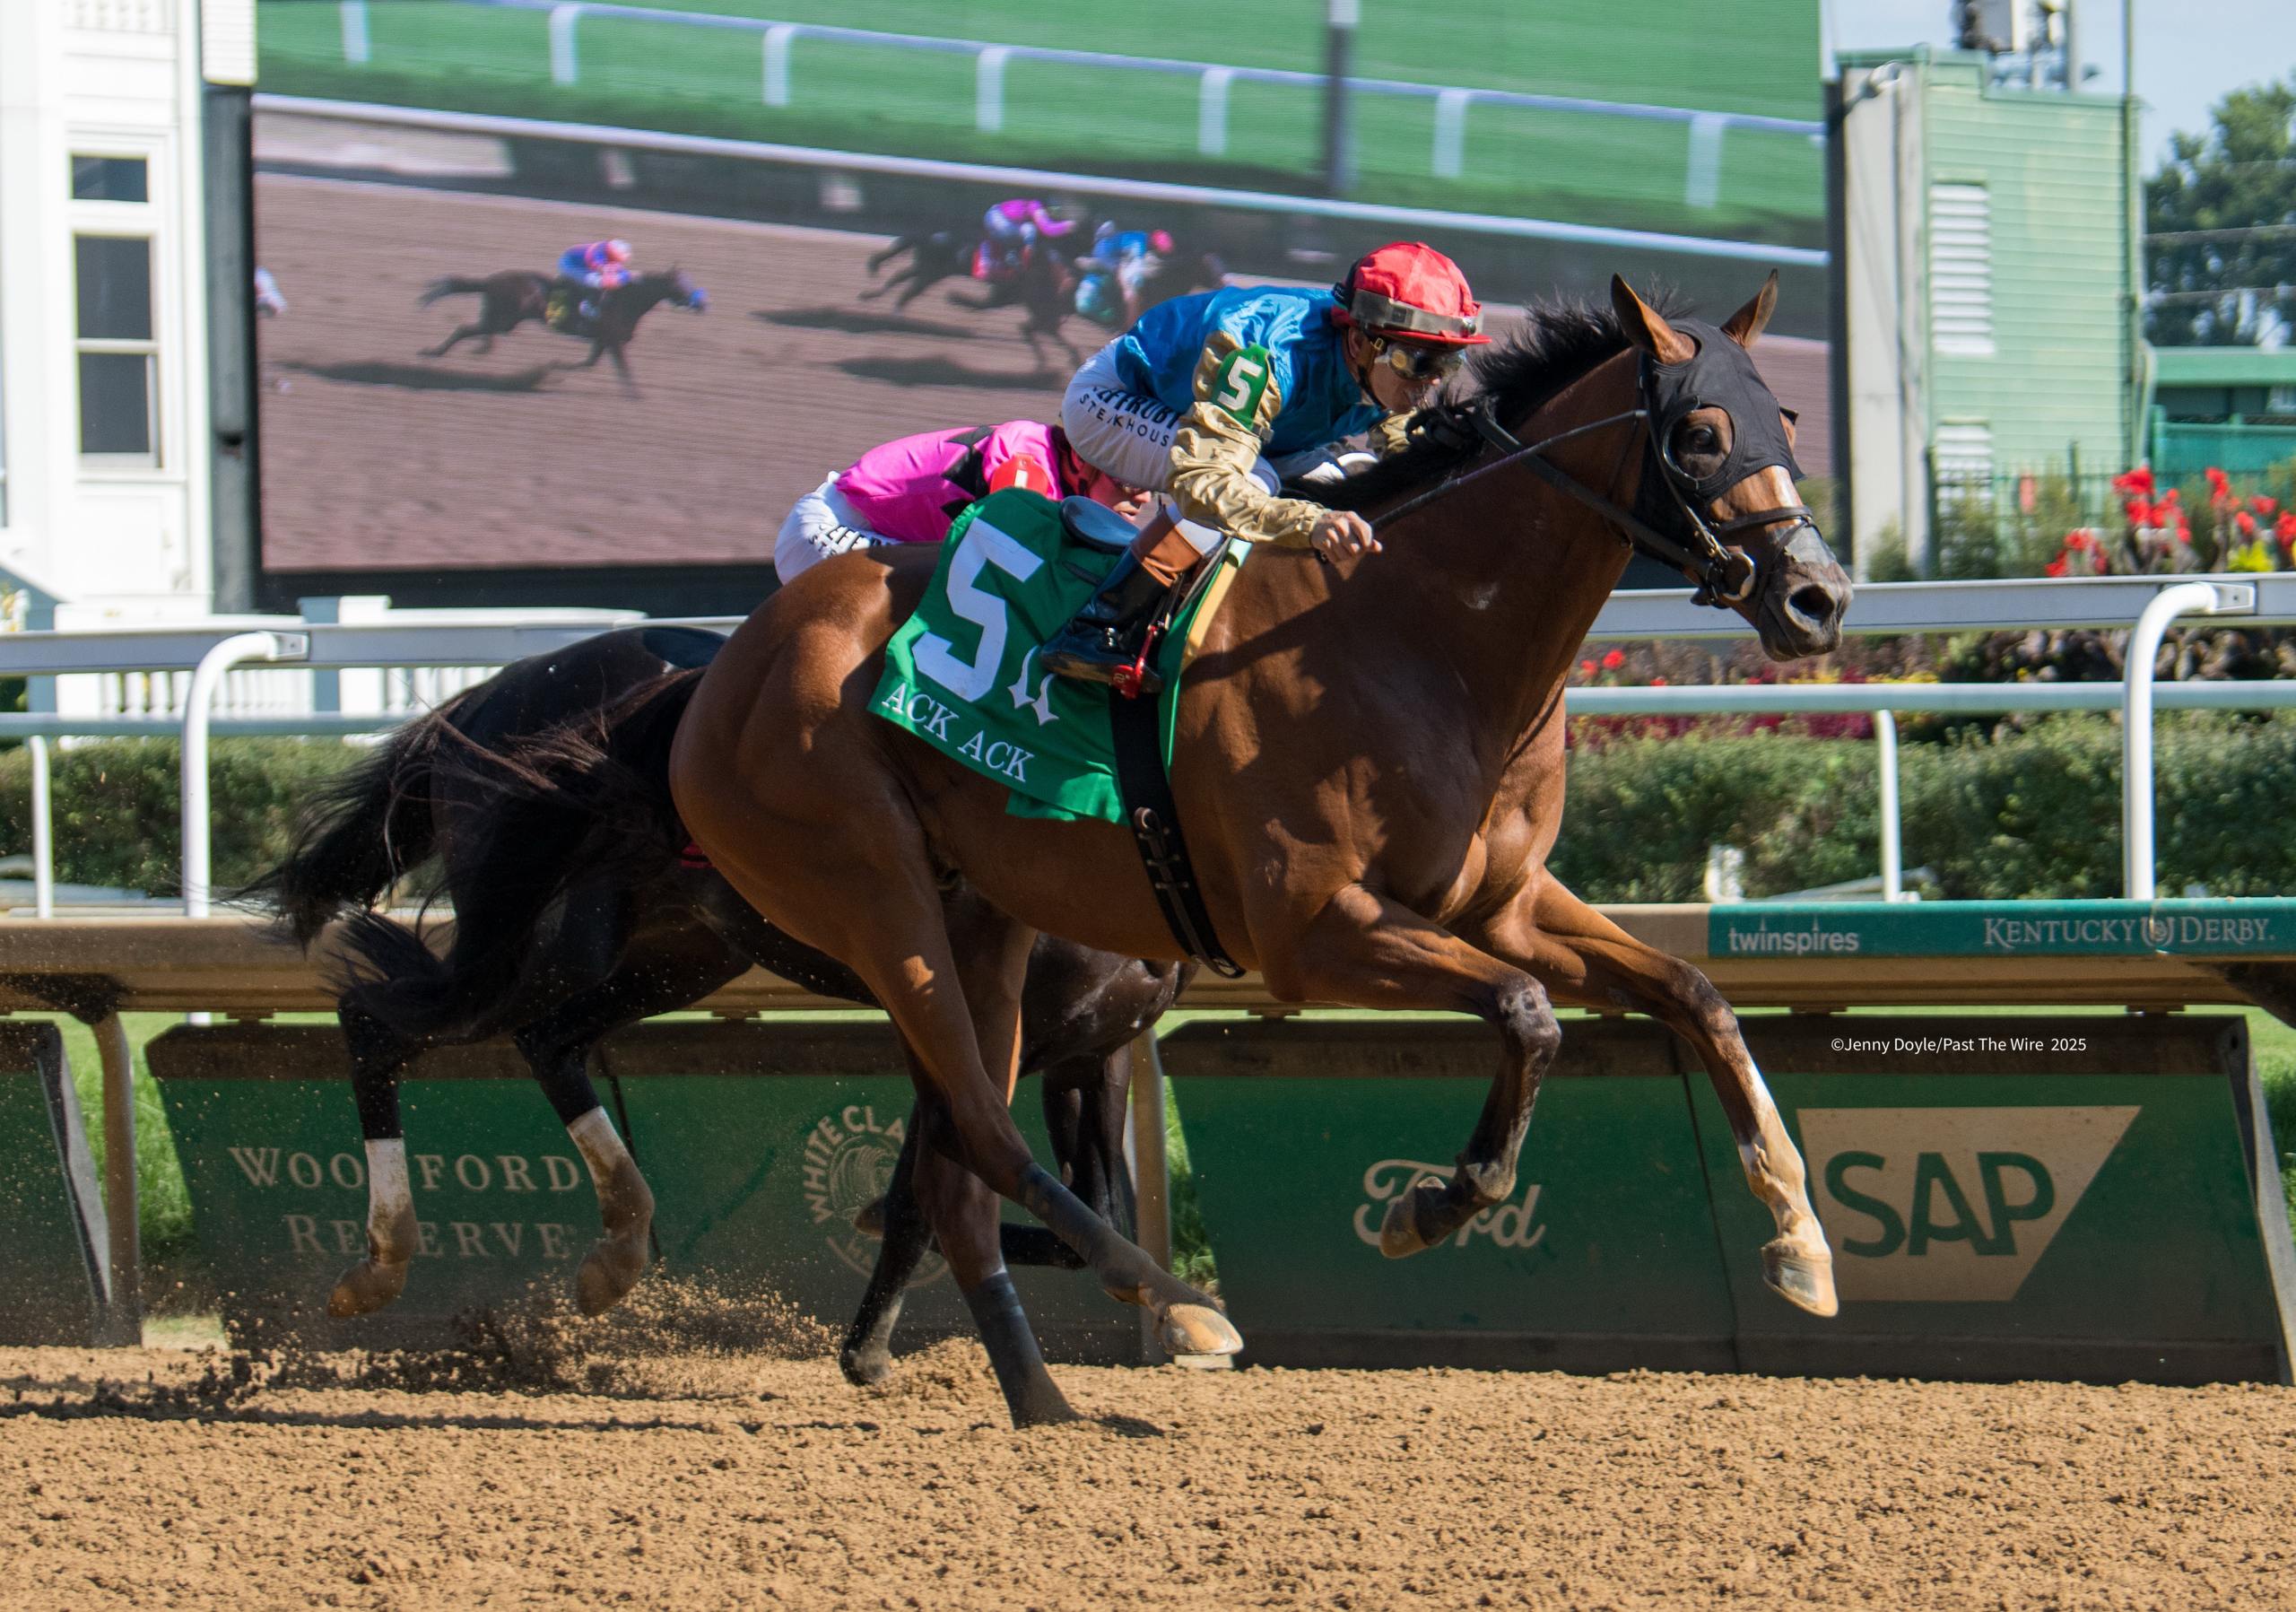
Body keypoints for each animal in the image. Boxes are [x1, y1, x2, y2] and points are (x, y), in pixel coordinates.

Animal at [244, 626, 1185, 1390]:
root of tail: (489, 692)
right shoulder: (964, 1035)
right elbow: (928, 1197)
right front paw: (869, 1346)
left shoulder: (1090, 1054)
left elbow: (1090, 1212)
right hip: (540, 935)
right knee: (376, 1020)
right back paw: (382, 1261)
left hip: (673, 952)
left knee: (547, 1038)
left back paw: (618, 1246)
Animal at [416, 268, 708, 395]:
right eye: (680, 285)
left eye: (688, 282)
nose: (702, 303)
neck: (627, 301)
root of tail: (490, 281)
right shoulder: (614, 341)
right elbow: (624, 369)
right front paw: (636, 395)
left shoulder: (602, 340)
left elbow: (587, 363)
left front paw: (554, 369)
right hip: (504, 318)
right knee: (465, 329)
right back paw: (434, 352)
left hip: (504, 319)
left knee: (477, 331)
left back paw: (479, 347)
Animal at [626, 273, 1853, 1426]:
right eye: (1699, 434)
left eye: (1786, 421)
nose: (1818, 597)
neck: (1421, 637)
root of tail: (723, 666)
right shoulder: (1313, 932)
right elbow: (1526, 1014)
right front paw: (1428, 1206)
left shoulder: (1499, 902)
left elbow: (1694, 993)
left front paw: (1798, 1238)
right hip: (874, 894)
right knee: (977, 1128)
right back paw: (1169, 1299)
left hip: (983, 918)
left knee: (955, 1164)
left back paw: (1043, 1396)